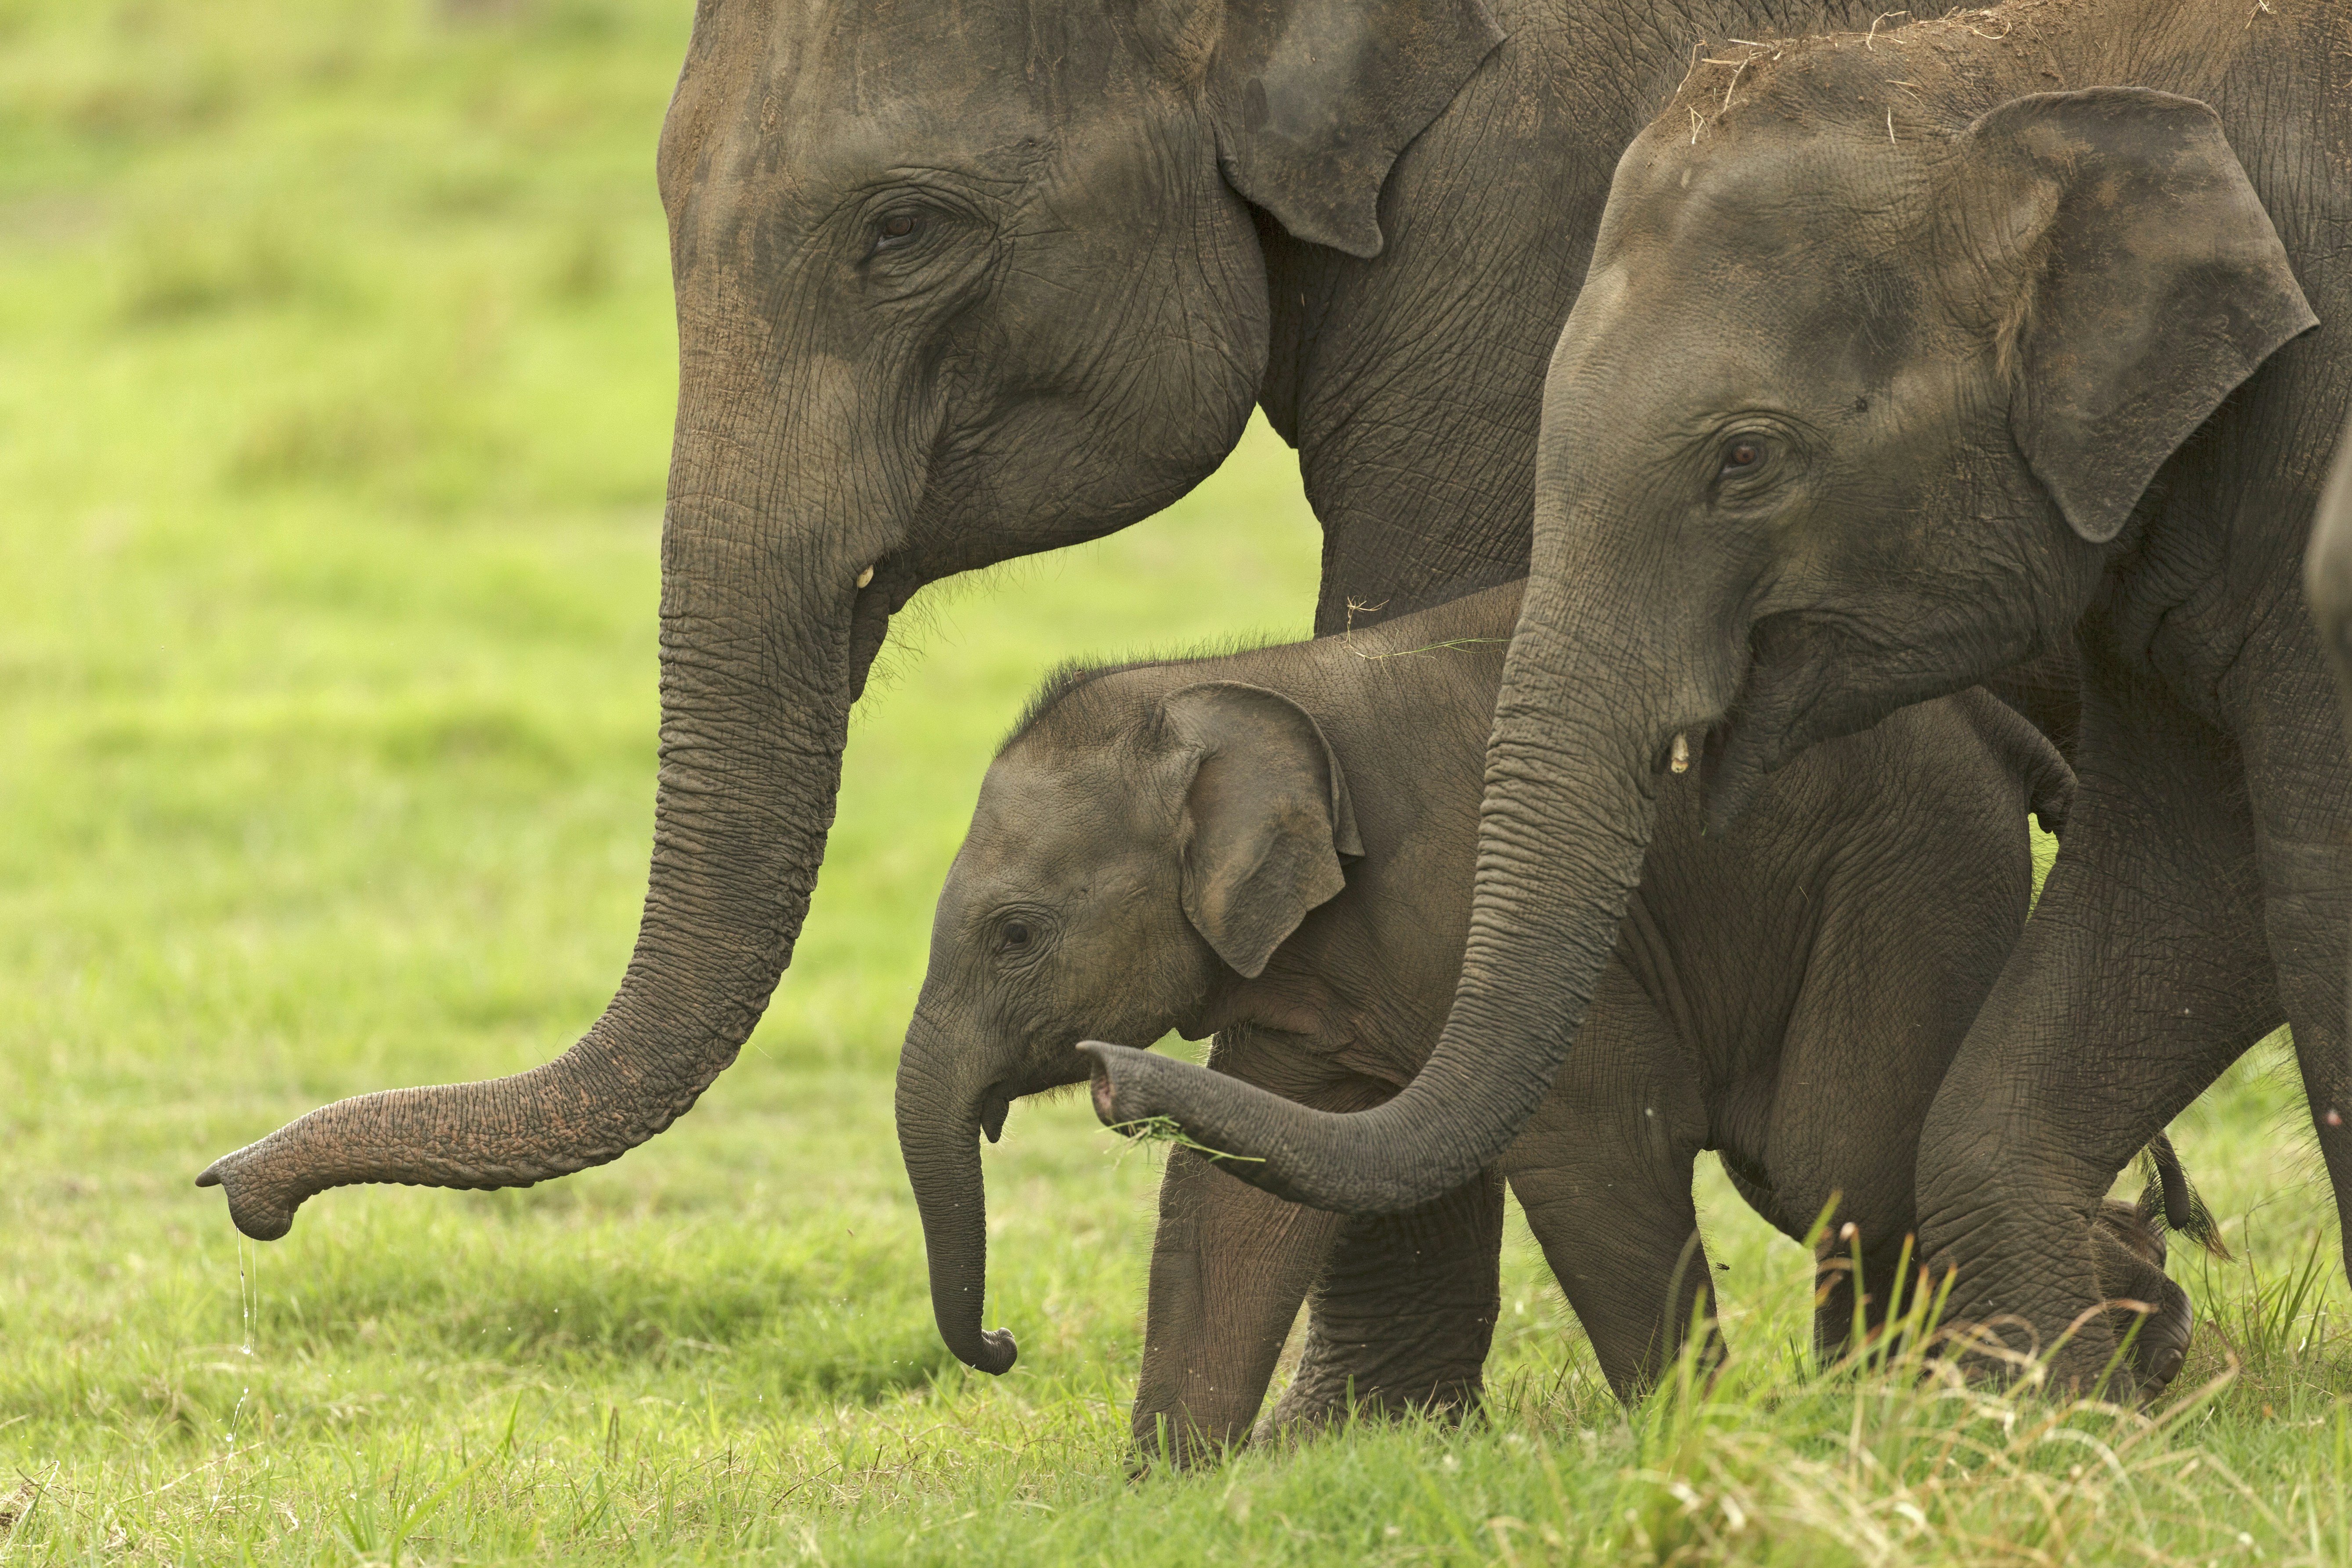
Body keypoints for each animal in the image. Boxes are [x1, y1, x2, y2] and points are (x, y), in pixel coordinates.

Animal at [897, 578, 2214, 1456]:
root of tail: (1994, 724)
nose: (1002, 1347)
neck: (1244, 683)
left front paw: (1688, 1443)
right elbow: (1231, 1202)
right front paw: (1167, 1486)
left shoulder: (1470, 893)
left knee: (1835, 1159)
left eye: (1014, 934)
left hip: (1907, 865)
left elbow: (1598, 1136)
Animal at [1086, 1, 2352, 1399]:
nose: (1099, 1079)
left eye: (1744, 459)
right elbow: (2189, 883)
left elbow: (2300, 905)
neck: (2030, 69)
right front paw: (2060, 1408)